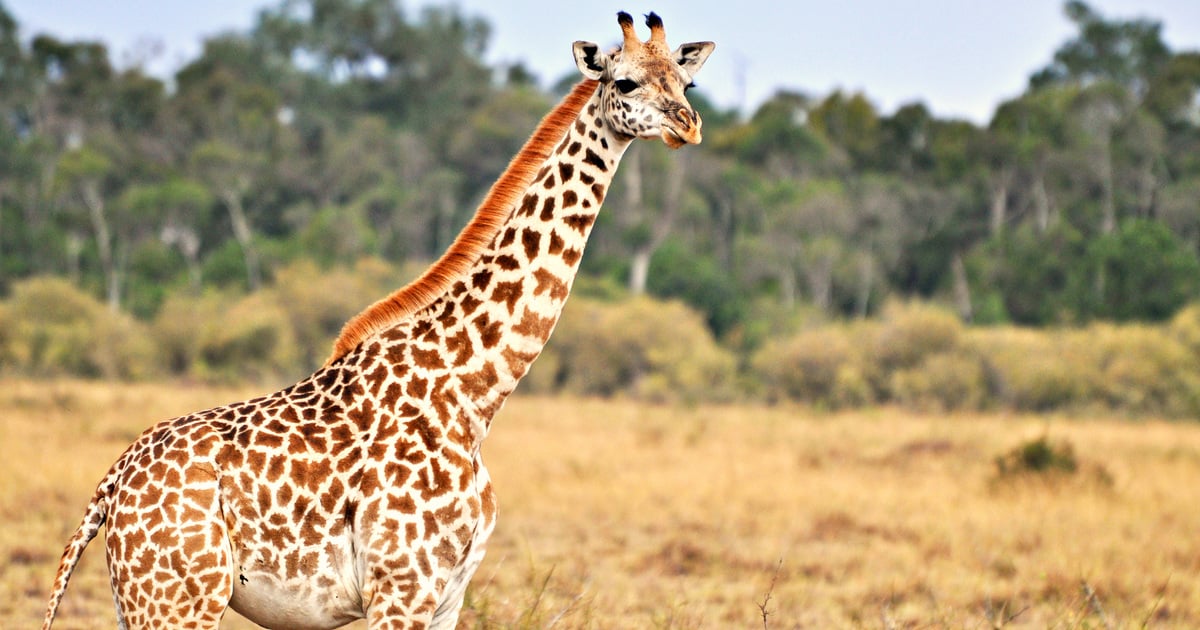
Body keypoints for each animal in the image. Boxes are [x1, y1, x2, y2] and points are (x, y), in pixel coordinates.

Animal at [42, 11, 713, 630]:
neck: (476, 392)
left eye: (687, 83)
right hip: (177, 600)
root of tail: (110, 486)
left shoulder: (448, 595)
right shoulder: (401, 586)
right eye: (624, 82)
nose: (688, 125)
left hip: (145, 599)